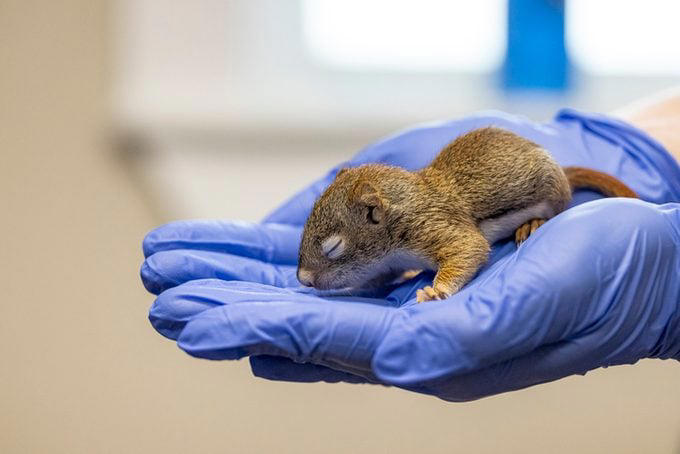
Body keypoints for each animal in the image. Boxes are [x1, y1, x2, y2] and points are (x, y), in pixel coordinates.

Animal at [297, 127, 637, 303]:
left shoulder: (433, 225)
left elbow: (468, 248)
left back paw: (533, 223)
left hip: (551, 191)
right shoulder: (387, 264)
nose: (303, 280)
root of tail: (564, 175)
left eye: (333, 247)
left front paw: (437, 290)